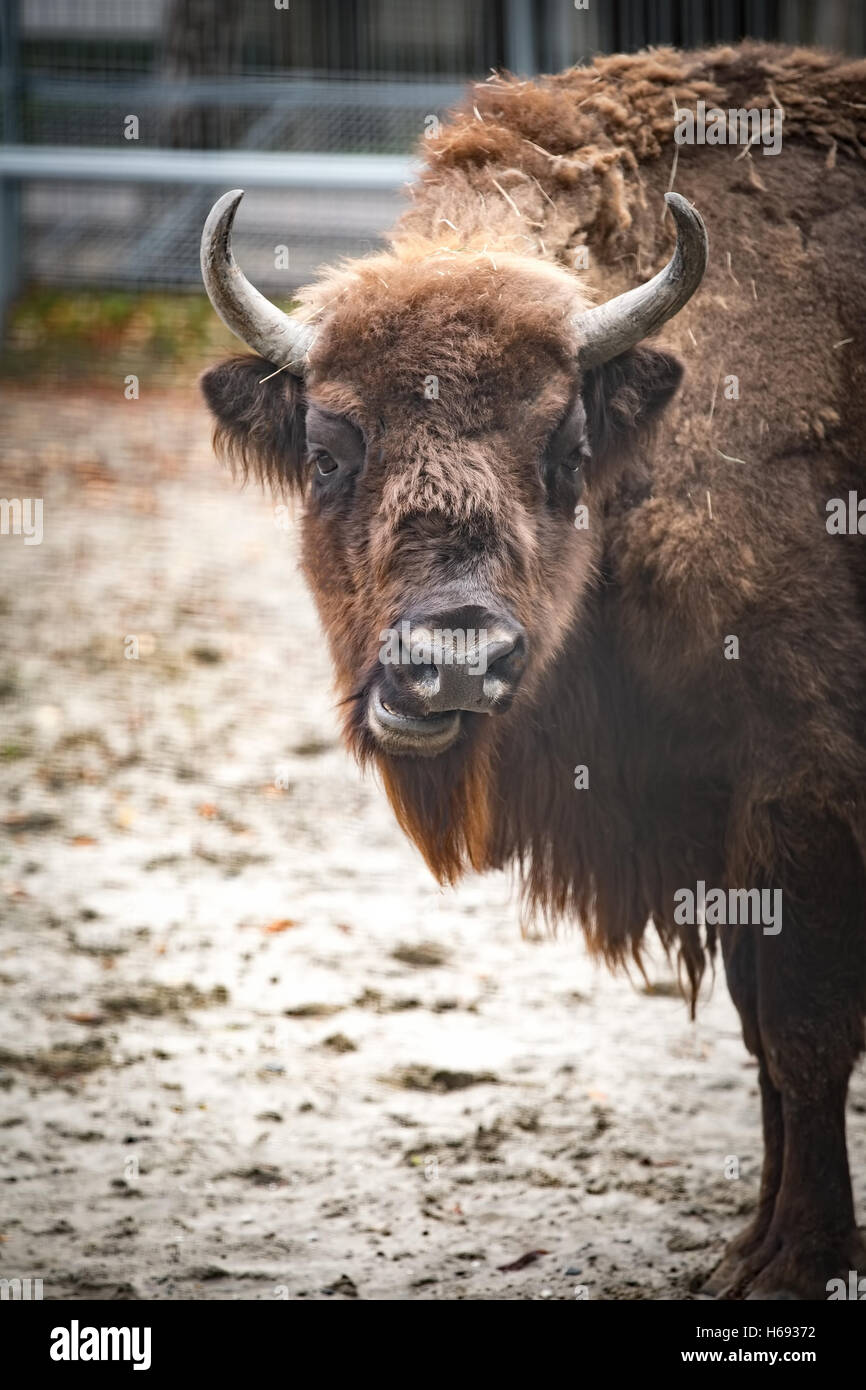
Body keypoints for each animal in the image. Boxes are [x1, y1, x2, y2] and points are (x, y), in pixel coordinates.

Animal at [200, 42, 866, 1299]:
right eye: (326, 449)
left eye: (564, 444)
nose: (448, 660)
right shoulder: (717, 810)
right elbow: (759, 1026)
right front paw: (745, 1247)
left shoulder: (803, 784)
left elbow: (803, 1029)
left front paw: (793, 1265)